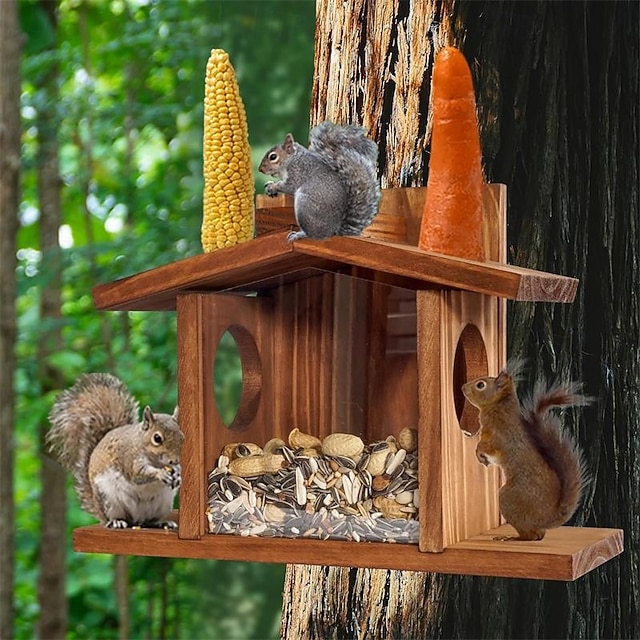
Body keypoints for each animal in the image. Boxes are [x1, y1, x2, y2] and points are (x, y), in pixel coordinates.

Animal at [47, 373, 184, 530]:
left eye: (182, 437)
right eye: (157, 438)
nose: (174, 460)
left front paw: (178, 475)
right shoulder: (129, 459)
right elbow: (138, 474)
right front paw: (160, 474)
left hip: (163, 503)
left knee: (149, 521)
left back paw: (162, 523)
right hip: (108, 500)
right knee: (117, 517)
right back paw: (117, 521)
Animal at [462, 361, 589, 541]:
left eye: (481, 384)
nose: (462, 387)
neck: (499, 406)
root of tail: (548, 517)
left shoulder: (498, 436)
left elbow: (486, 447)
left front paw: (479, 454)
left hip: (509, 499)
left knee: (530, 535)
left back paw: (513, 538)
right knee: (539, 535)